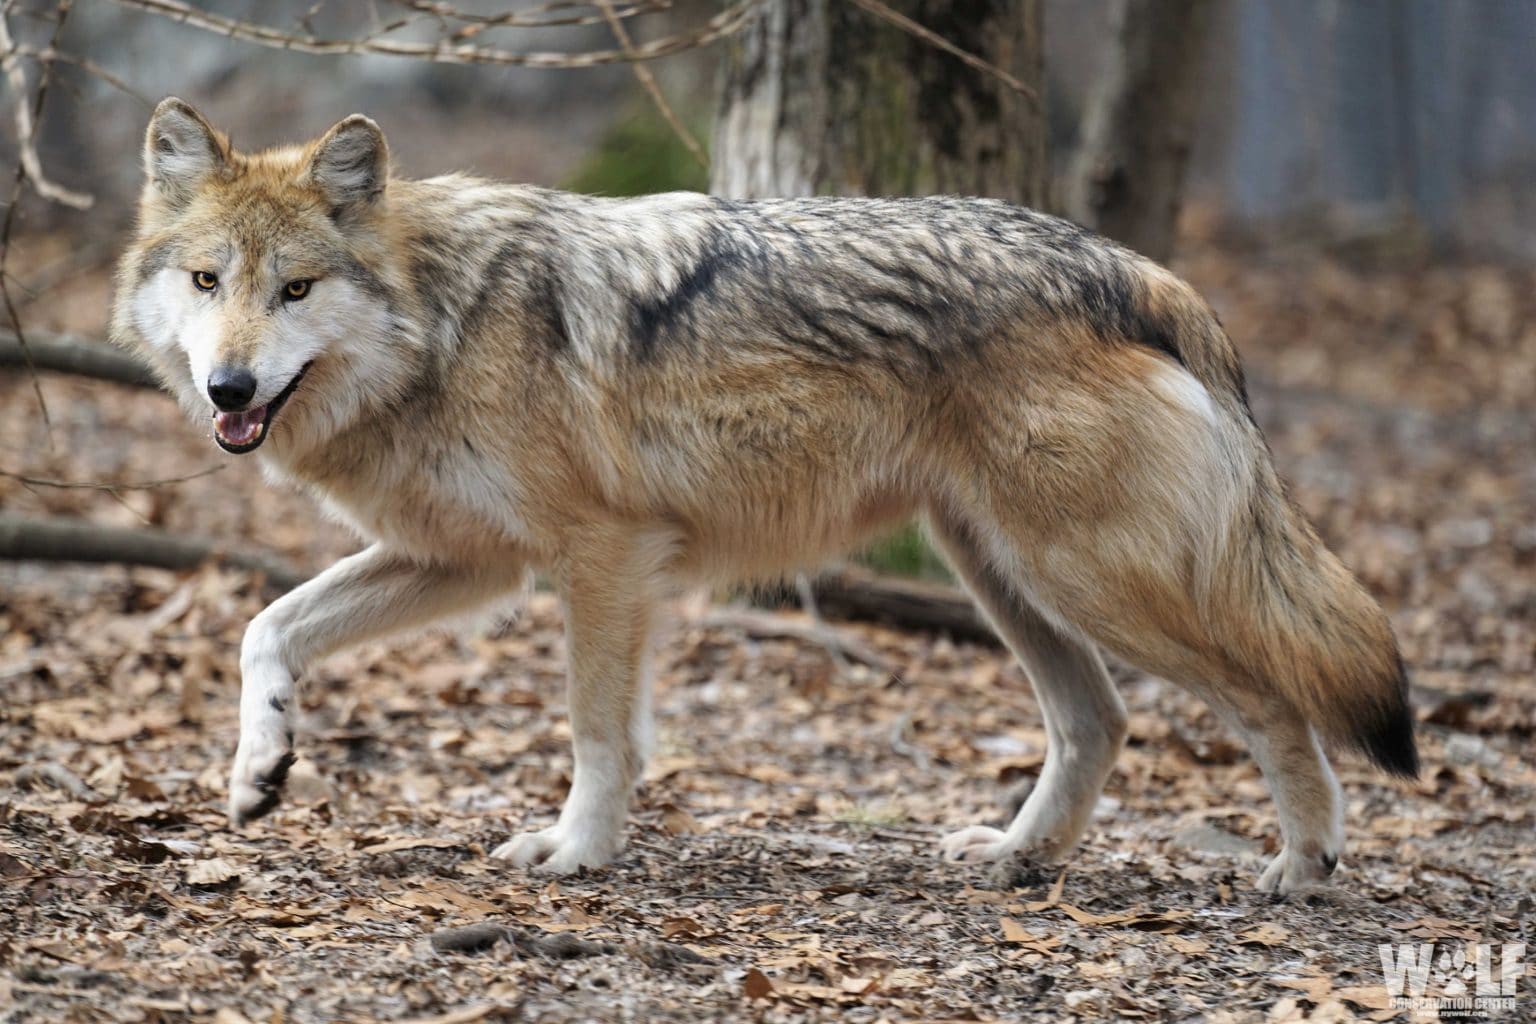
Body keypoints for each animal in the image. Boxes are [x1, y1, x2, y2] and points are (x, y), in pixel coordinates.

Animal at [111, 99, 1417, 894]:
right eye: (208, 281)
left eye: (295, 289)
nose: (229, 387)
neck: (443, 321)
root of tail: (1140, 269)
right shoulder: (466, 563)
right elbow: (266, 626)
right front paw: (260, 768)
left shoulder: (602, 558)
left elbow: (597, 731)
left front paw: (578, 851)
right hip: (1003, 574)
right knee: (1097, 722)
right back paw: (1012, 857)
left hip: (1086, 579)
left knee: (1272, 699)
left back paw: (1306, 865)